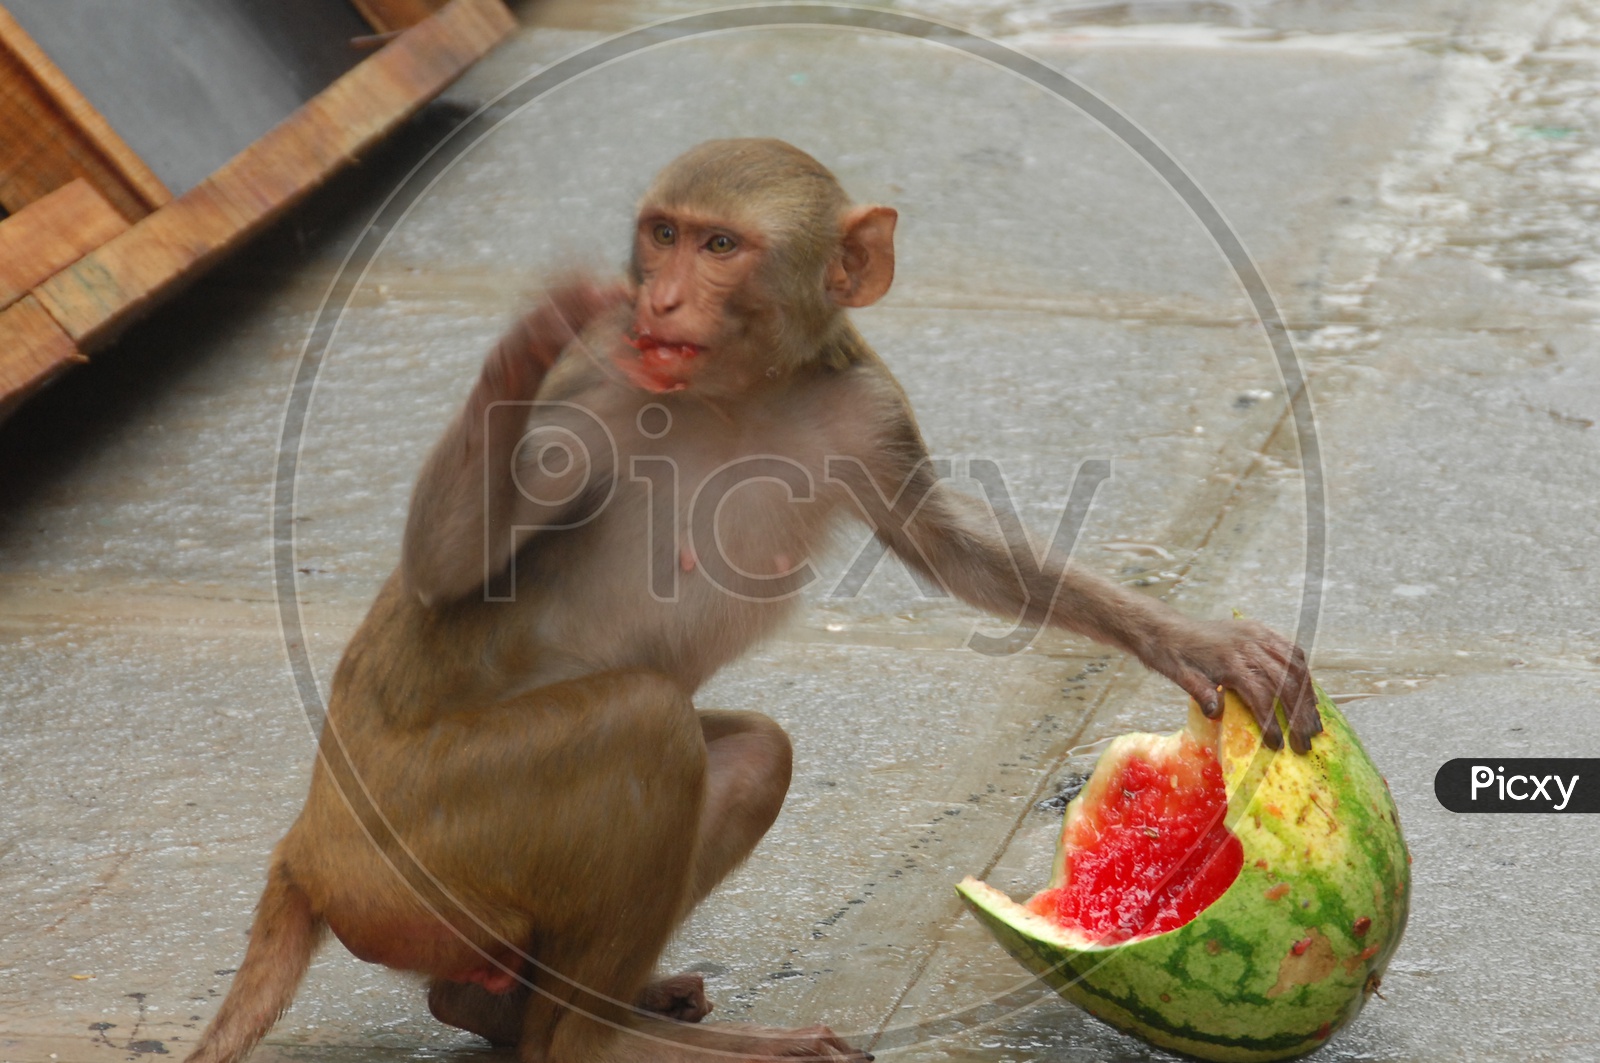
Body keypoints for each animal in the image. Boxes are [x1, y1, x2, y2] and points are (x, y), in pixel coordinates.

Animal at [185, 138, 1319, 1063]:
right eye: (663, 236)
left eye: (720, 244)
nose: (661, 301)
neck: (737, 394)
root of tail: (304, 850)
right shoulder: (589, 392)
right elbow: (444, 568)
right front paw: (518, 344)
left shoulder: (865, 405)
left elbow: (953, 552)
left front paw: (1192, 642)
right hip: (416, 843)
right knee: (643, 724)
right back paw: (593, 1040)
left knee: (745, 755)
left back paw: (500, 1011)